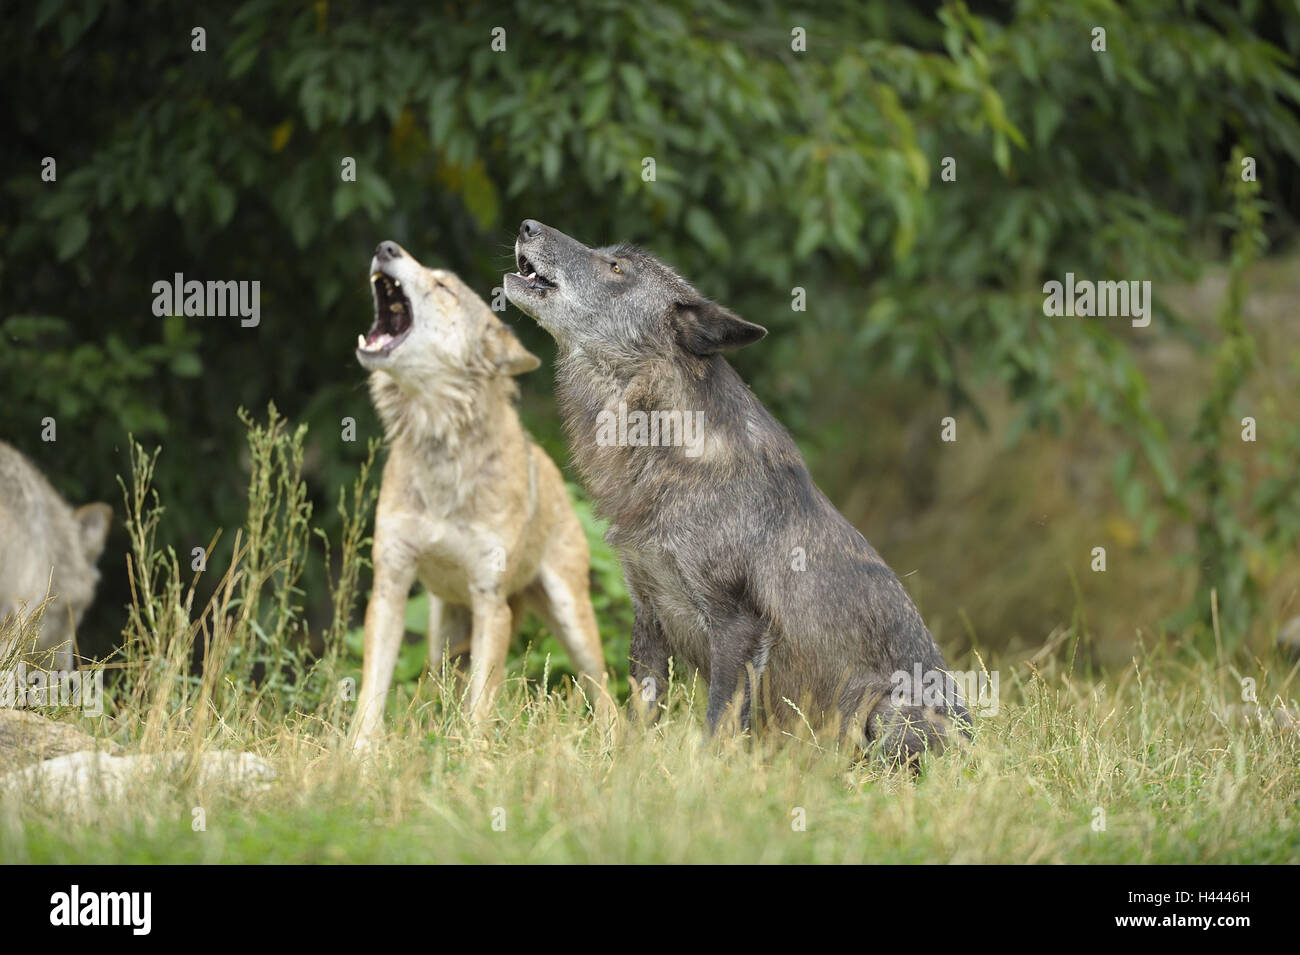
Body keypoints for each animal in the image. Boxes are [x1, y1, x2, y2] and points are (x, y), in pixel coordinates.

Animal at [351, 241, 610, 746]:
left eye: (444, 286)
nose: (385, 247)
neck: (441, 452)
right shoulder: (390, 586)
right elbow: (371, 694)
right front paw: (359, 755)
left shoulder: (492, 601)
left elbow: (479, 709)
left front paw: (470, 756)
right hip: (444, 634)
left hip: (571, 618)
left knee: (610, 696)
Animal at [505, 220, 968, 763]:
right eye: (607, 254)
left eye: (617, 268)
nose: (527, 226)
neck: (668, 450)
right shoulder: (648, 610)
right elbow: (641, 711)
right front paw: (628, 768)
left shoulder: (737, 625)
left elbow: (719, 719)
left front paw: (705, 773)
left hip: (889, 712)